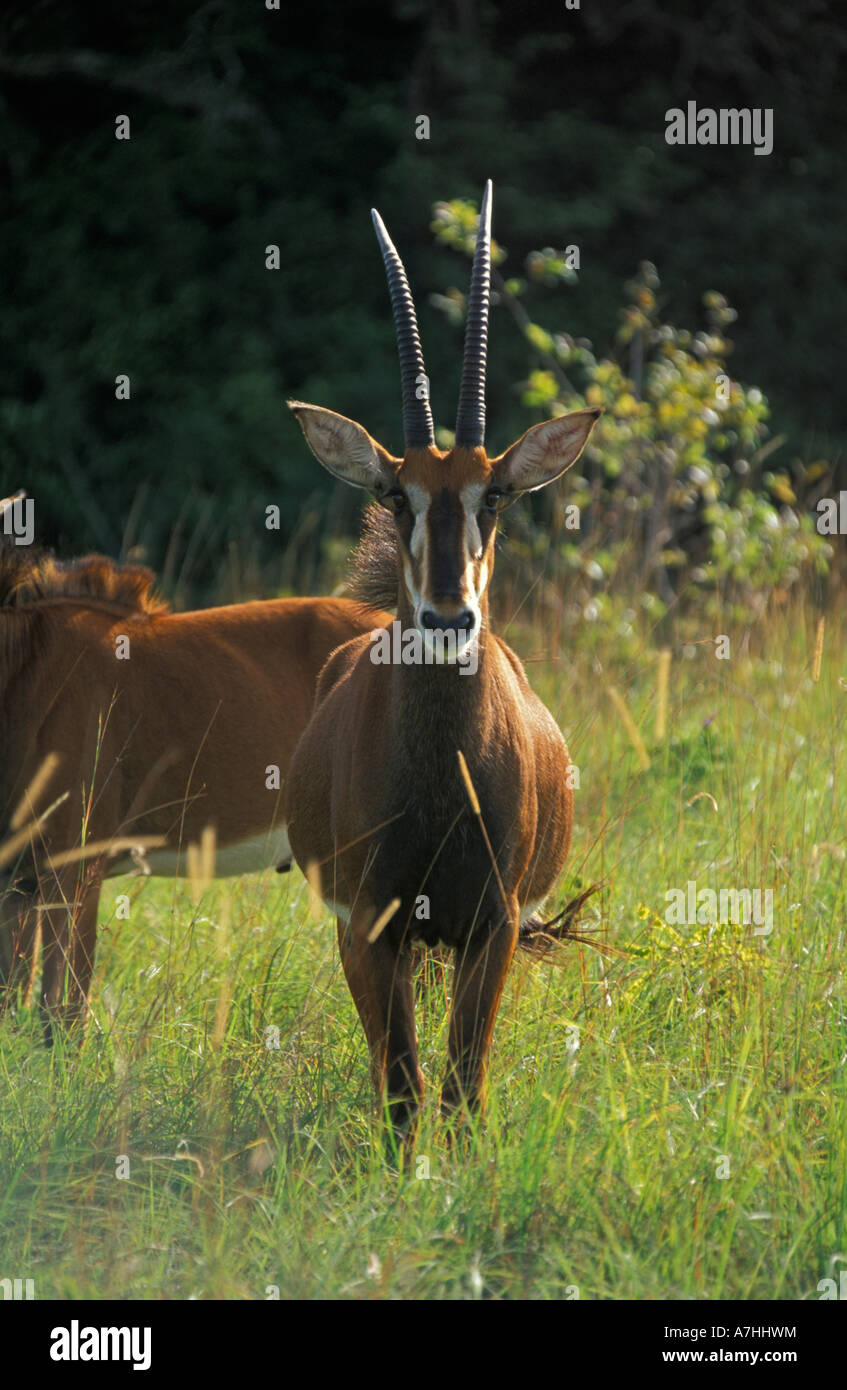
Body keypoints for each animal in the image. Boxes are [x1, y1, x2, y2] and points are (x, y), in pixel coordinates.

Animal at [285, 182, 600, 1131]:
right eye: (397, 494)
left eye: (491, 494)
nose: (448, 617)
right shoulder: (368, 926)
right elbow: (403, 1086)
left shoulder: (489, 928)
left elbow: (461, 1084)